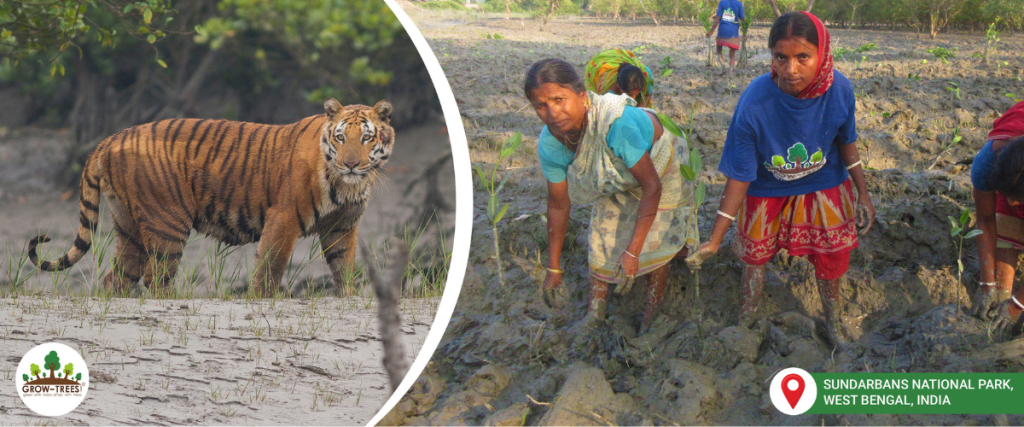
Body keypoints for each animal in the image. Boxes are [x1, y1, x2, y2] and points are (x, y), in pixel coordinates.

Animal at [28, 98, 395, 297]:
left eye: (366, 138)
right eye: (340, 137)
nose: (351, 164)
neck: (346, 185)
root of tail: (110, 139)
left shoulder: (342, 227)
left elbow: (344, 268)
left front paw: (347, 298)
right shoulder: (284, 218)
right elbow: (269, 269)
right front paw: (261, 300)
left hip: (128, 226)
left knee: (117, 278)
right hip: (167, 221)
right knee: (156, 277)